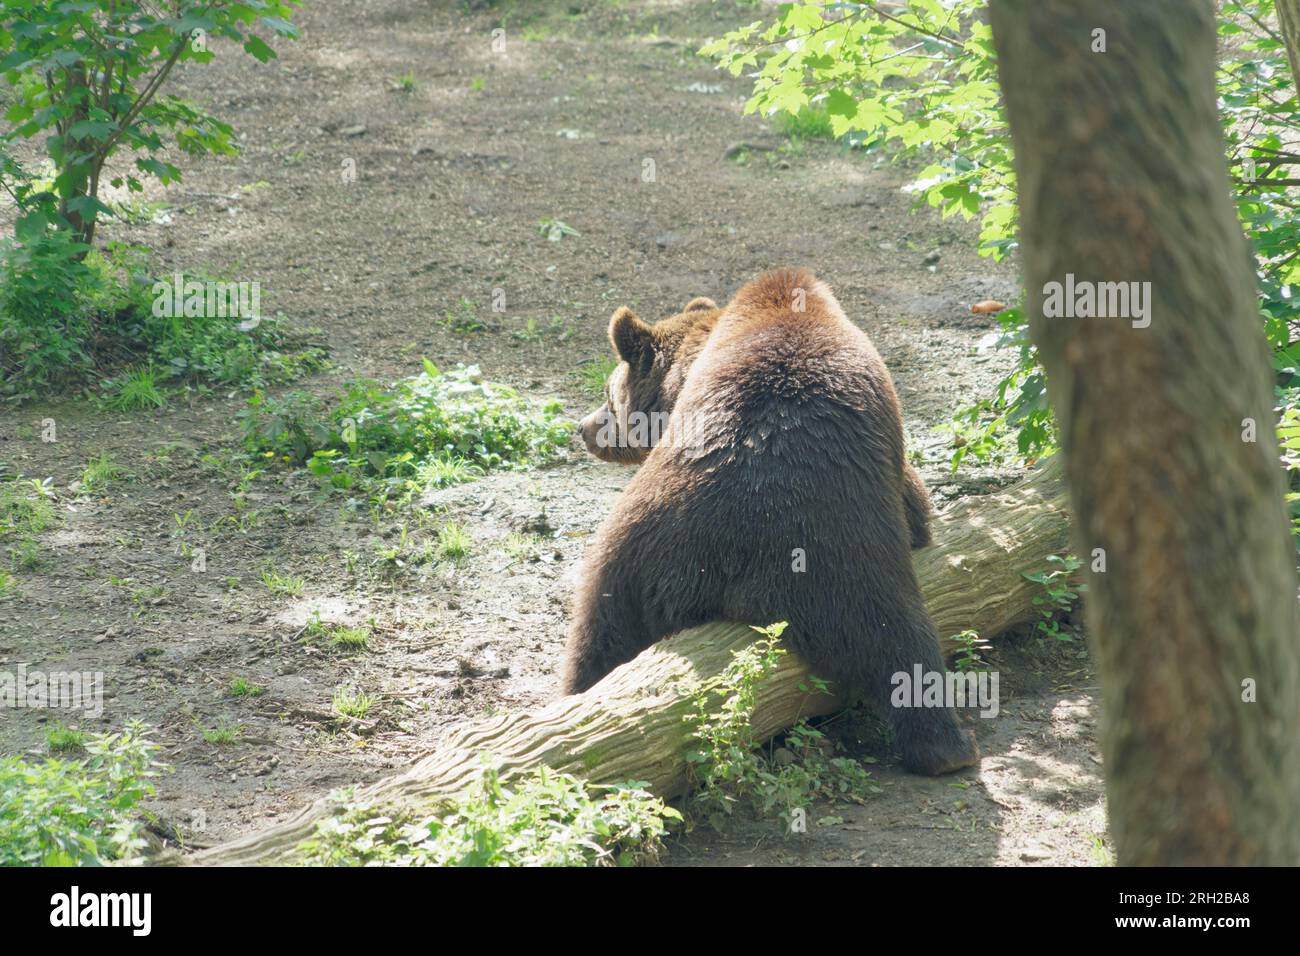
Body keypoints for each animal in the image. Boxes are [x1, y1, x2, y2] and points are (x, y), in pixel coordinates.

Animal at [564, 268, 978, 775]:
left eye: (608, 392)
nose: (584, 428)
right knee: (901, 637)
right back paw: (948, 746)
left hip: (638, 548)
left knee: (596, 631)